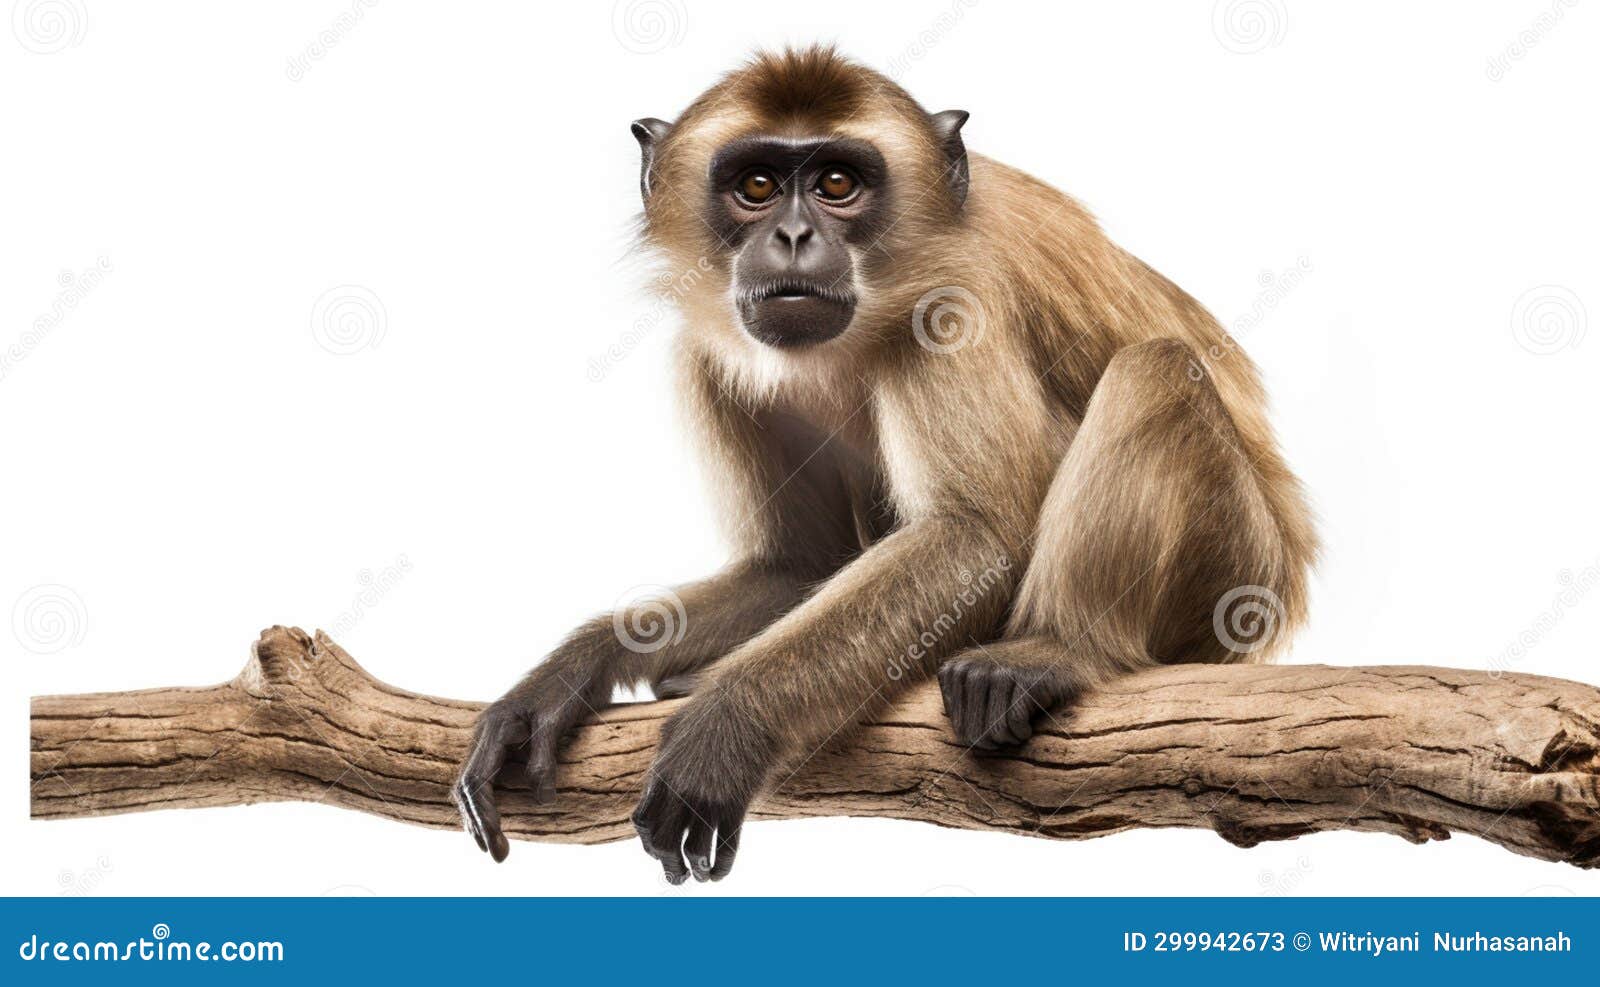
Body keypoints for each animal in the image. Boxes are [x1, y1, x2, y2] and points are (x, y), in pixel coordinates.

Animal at [454, 45, 1316, 883]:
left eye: (837, 184)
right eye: (757, 186)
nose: (793, 238)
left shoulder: (952, 295)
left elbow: (978, 536)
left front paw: (733, 722)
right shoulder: (710, 351)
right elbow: (799, 565)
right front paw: (574, 669)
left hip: (1241, 572)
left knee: (1155, 370)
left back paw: (1062, 651)